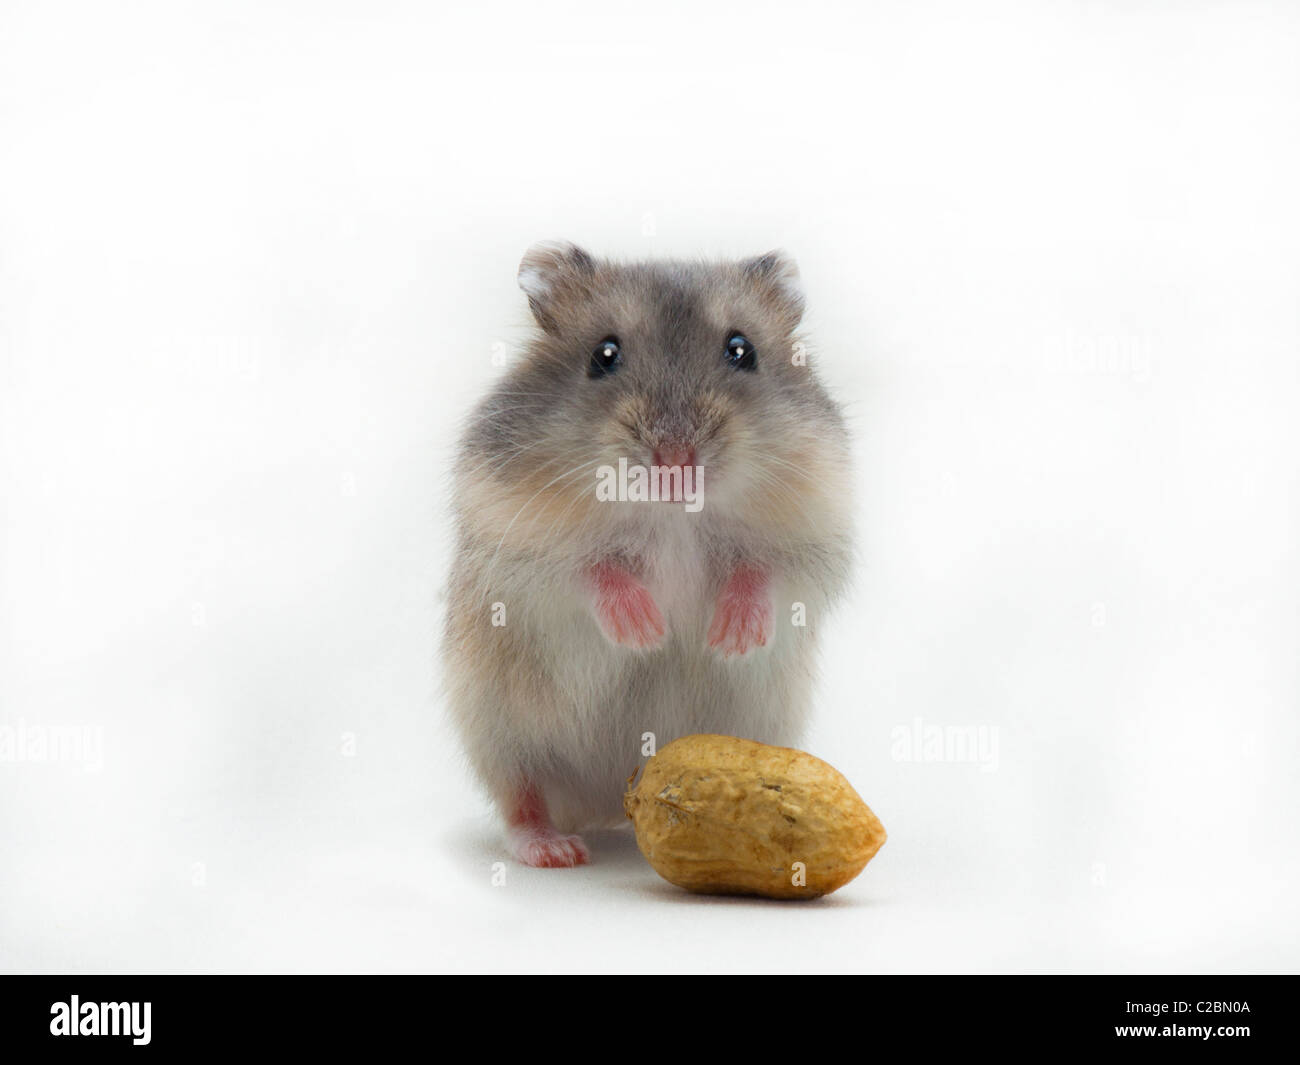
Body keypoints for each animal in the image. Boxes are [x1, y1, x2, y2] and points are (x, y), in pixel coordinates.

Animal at [443, 242, 853, 867]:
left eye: (742, 351)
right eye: (603, 355)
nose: (675, 462)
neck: (673, 517)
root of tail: (607, 802)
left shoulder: (816, 541)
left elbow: (762, 570)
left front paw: (729, 640)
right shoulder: (515, 553)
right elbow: (591, 571)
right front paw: (648, 633)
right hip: (497, 730)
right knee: (520, 797)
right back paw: (554, 851)